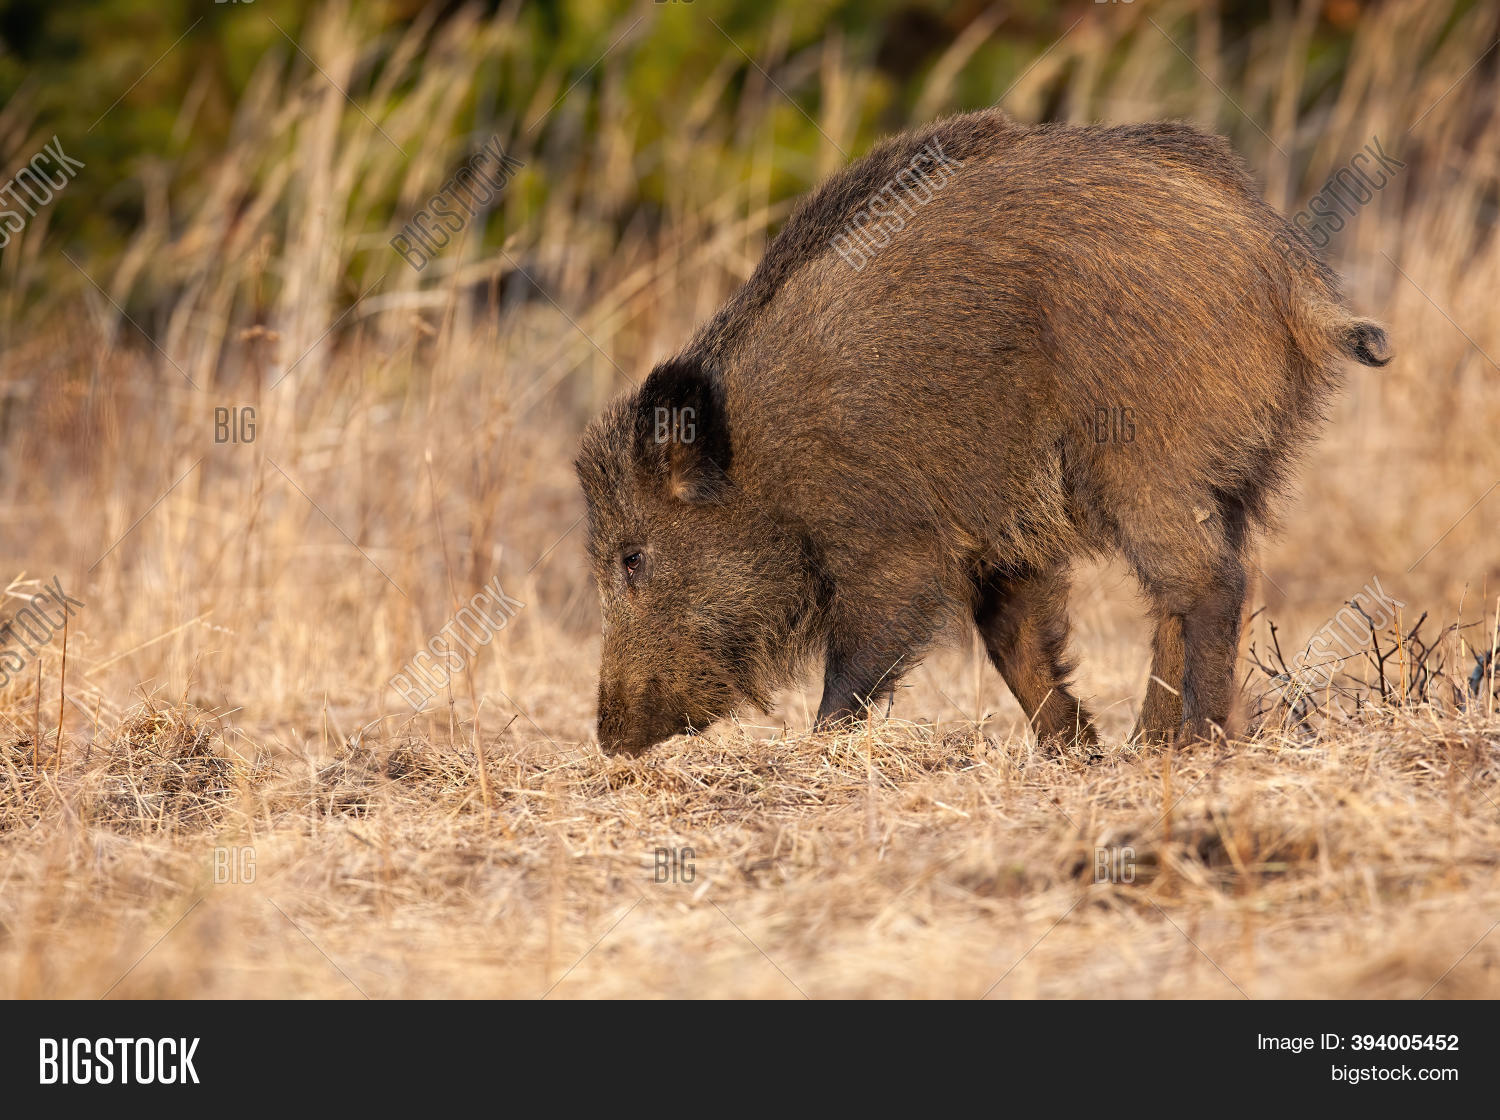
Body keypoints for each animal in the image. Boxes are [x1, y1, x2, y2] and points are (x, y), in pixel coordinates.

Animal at [575, 107, 1390, 754]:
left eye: (632, 558)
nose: (611, 741)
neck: (765, 462)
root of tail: (1290, 273)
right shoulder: (1005, 533)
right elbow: (1013, 638)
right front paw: (1073, 748)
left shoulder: (895, 545)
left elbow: (862, 662)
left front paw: (822, 750)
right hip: (1234, 473)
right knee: (1177, 596)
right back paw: (1146, 744)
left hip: (1147, 457)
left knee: (1210, 582)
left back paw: (1194, 743)